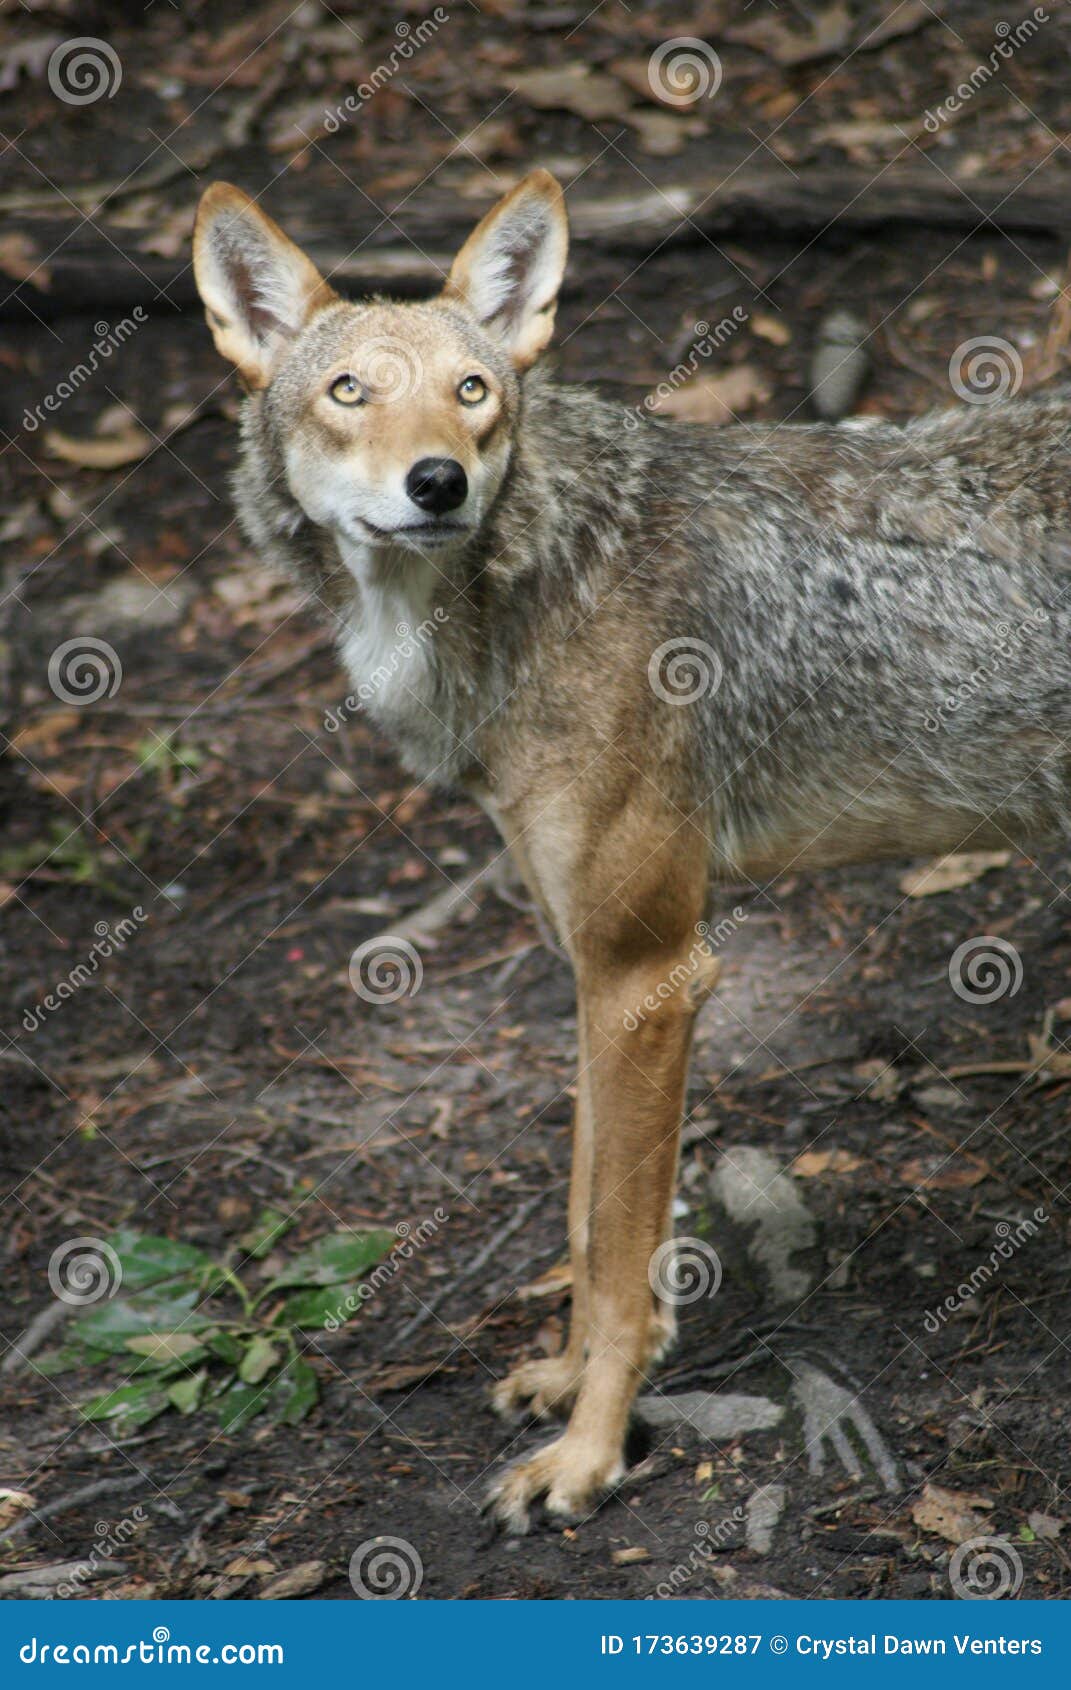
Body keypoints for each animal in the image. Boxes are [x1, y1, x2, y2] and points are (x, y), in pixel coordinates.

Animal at [194, 167, 1071, 1531]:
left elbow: (617, 1258)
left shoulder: (651, 974)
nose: (439, 483)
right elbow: (581, 1212)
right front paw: (562, 1386)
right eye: (349, 391)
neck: (537, 584)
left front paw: (590, 1456)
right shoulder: (589, 968)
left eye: (473, 391)